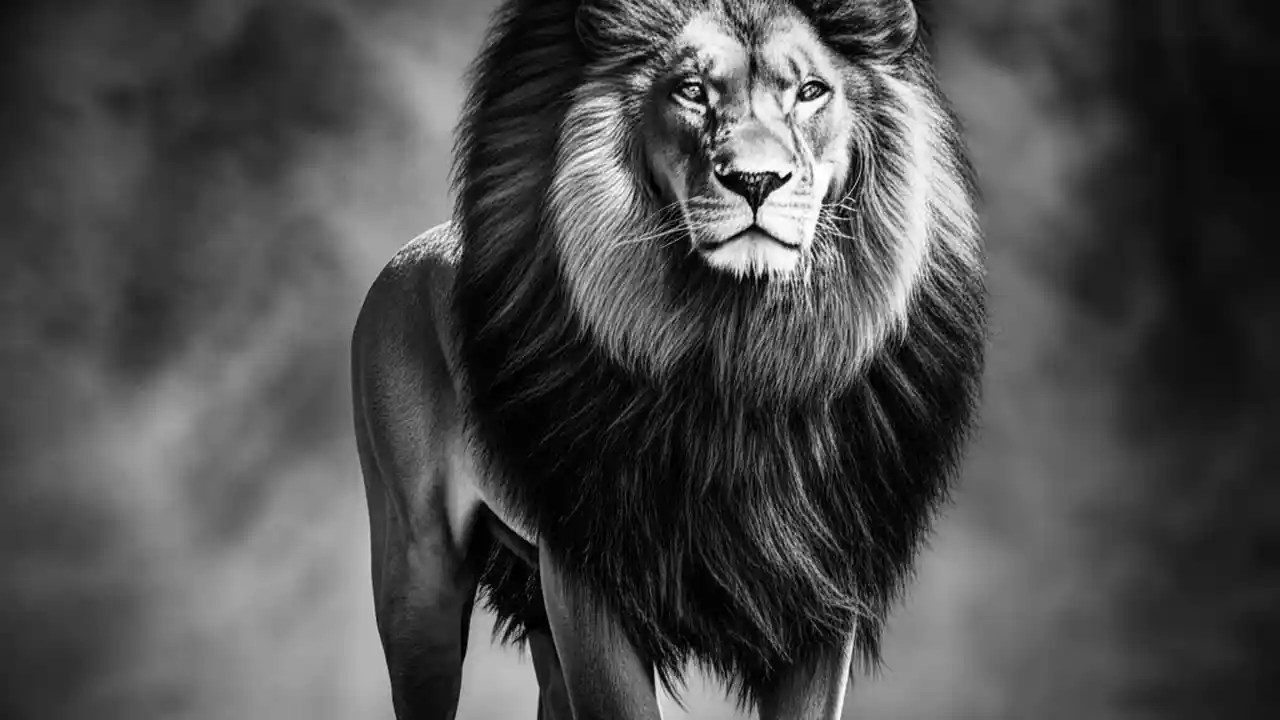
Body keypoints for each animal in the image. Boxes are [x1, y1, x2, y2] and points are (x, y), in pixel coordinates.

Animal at [350, 0, 986, 718]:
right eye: (691, 91)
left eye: (810, 92)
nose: (756, 181)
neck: (733, 348)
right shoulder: (586, 577)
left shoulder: (822, 587)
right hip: (417, 573)